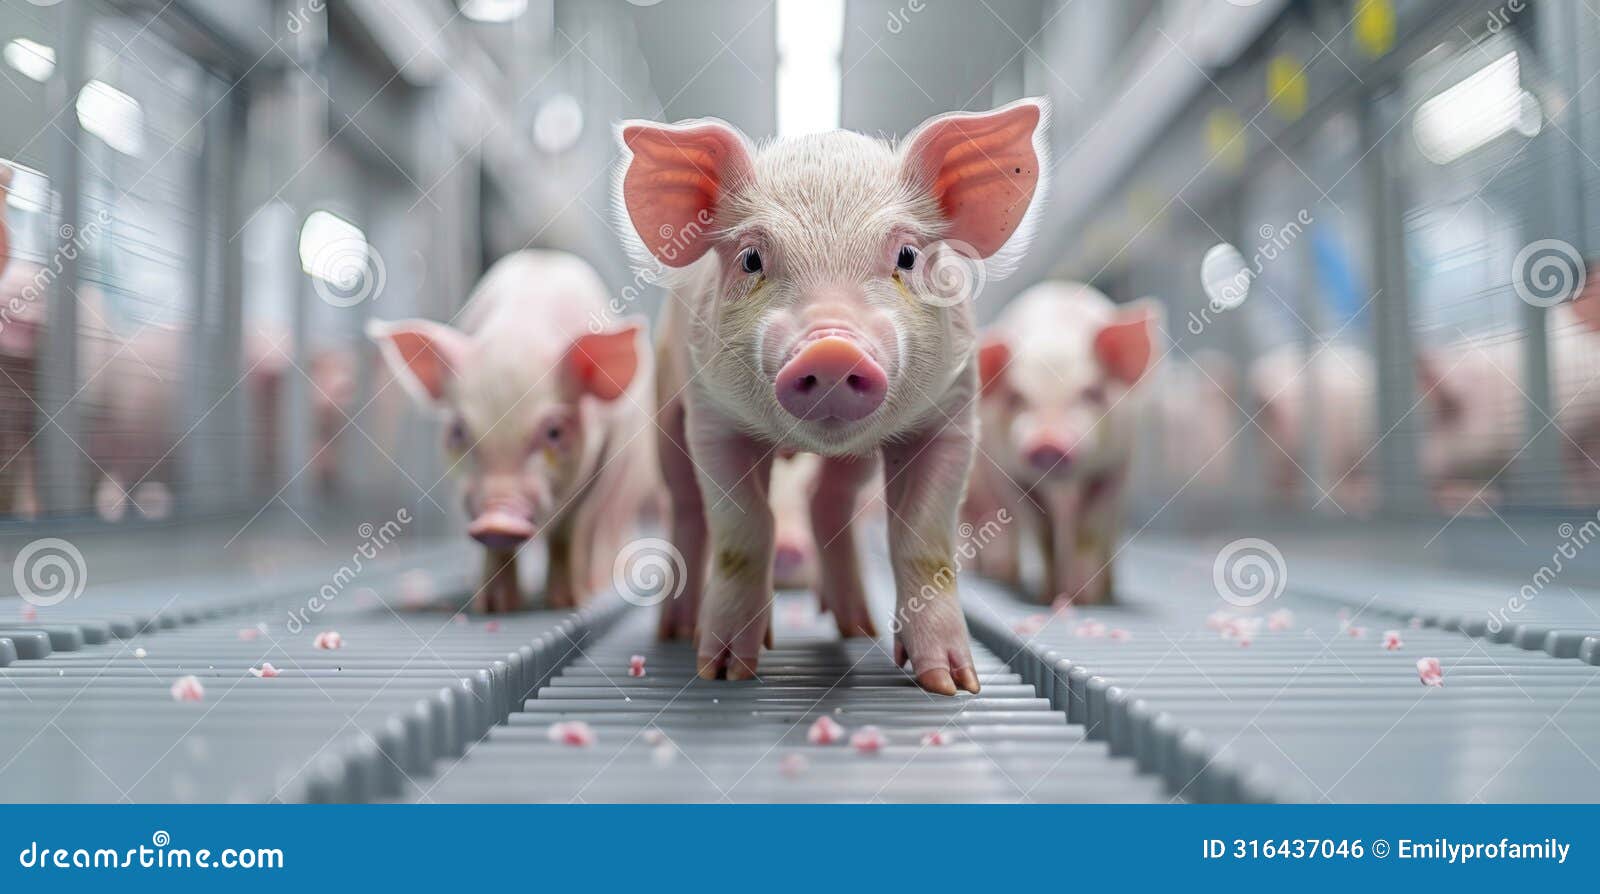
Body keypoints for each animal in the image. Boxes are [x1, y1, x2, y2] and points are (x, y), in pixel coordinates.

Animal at [369, 249, 657, 613]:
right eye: (458, 431)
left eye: (554, 432)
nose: (497, 519)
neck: (518, 334)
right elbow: (497, 550)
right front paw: (494, 608)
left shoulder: (599, 470)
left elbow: (569, 532)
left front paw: (566, 604)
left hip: (629, 484)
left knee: (605, 526)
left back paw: (601, 581)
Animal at [616, 99, 1049, 693]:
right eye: (751, 260)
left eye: (907, 255)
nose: (831, 349)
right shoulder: (712, 416)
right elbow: (743, 534)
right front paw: (726, 671)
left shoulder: (953, 414)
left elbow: (923, 541)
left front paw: (952, 684)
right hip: (665, 410)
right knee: (686, 508)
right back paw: (678, 633)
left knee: (829, 504)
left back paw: (855, 627)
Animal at [972, 282, 1160, 606]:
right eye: (1015, 397)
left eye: (1092, 392)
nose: (1048, 441)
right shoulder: (1007, 475)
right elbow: (1041, 532)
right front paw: (1047, 597)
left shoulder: (1117, 465)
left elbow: (1089, 529)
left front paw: (1086, 600)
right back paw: (1003, 577)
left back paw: (1109, 591)